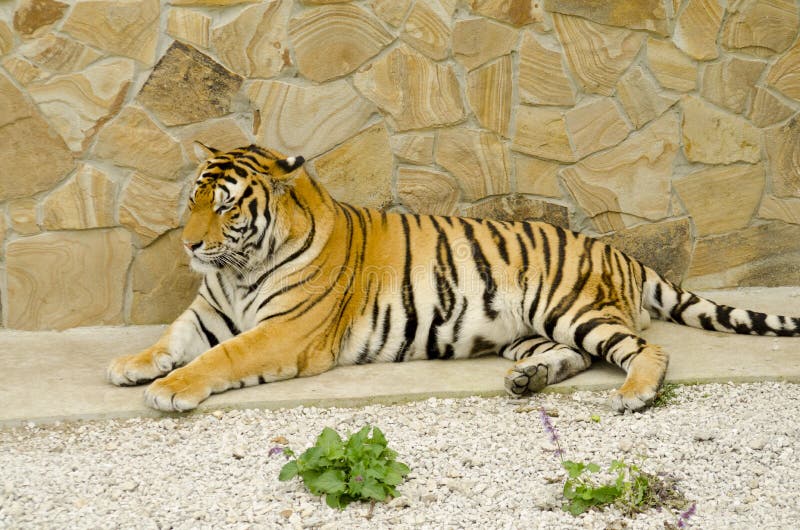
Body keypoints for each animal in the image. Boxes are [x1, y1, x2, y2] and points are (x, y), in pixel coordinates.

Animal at [108, 143, 800, 413]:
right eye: (193, 200)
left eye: (226, 207)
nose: (190, 243)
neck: (239, 270)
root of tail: (624, 254)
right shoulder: (208, 311)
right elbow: (172, 340)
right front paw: (130, 364)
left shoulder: (282, 332)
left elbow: (218, 358)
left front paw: (170, 389)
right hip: (534, 329)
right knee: (575, 357)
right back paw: (526, 380)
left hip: (572, 309)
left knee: (644, 350)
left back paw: (634, 393)